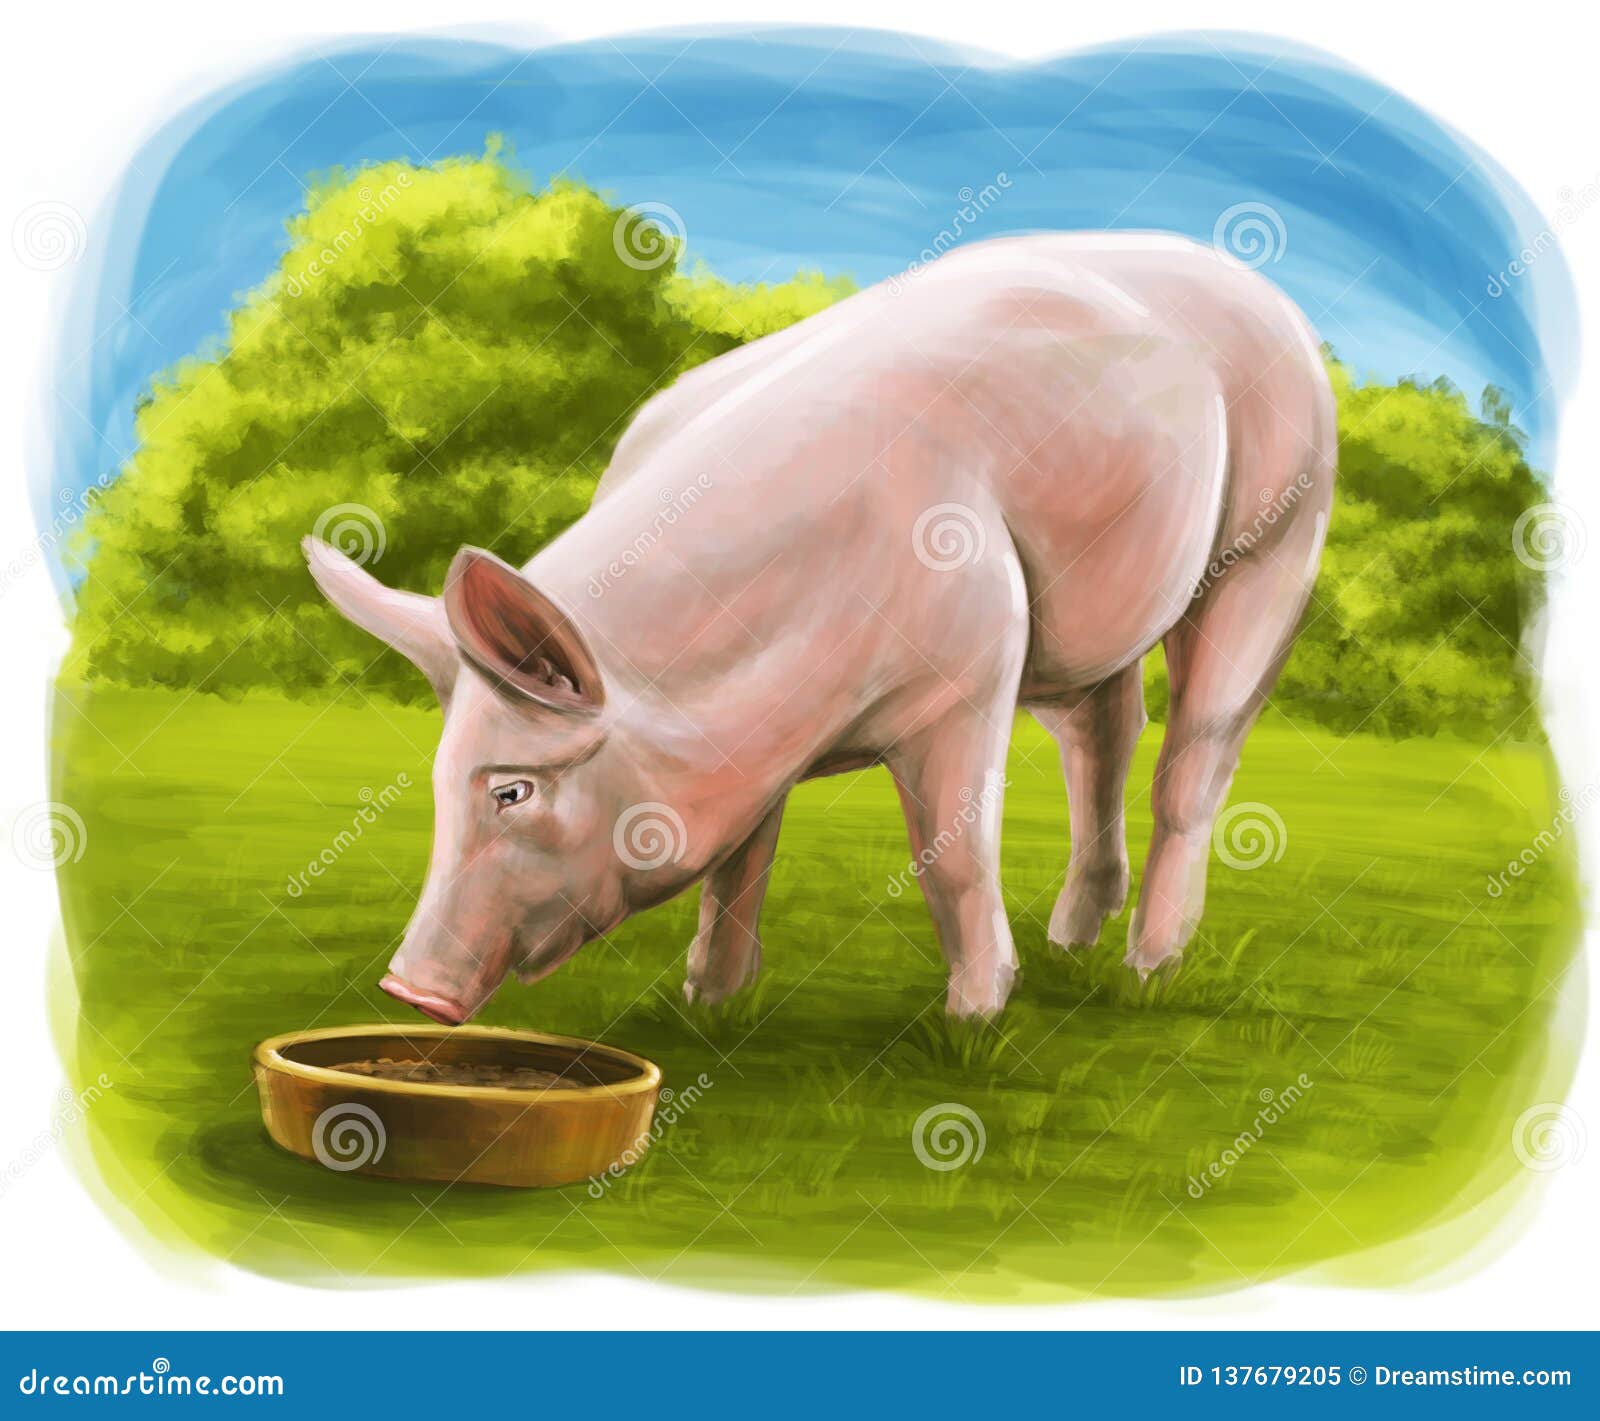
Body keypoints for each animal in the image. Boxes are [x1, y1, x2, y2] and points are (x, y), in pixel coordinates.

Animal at [305, 232, 1334, 1024]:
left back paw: (1145, 971)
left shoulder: (971, 671)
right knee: (1104, 734)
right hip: (1086, 621)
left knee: (1195, 756)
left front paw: (973, 1021)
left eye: (512, 789)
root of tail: (1252, 284)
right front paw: (710, 1006)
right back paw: (1071, 942)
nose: (406, 989)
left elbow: (953, 854)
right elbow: (739, 864)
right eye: (439, 781)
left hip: (1279, 526)